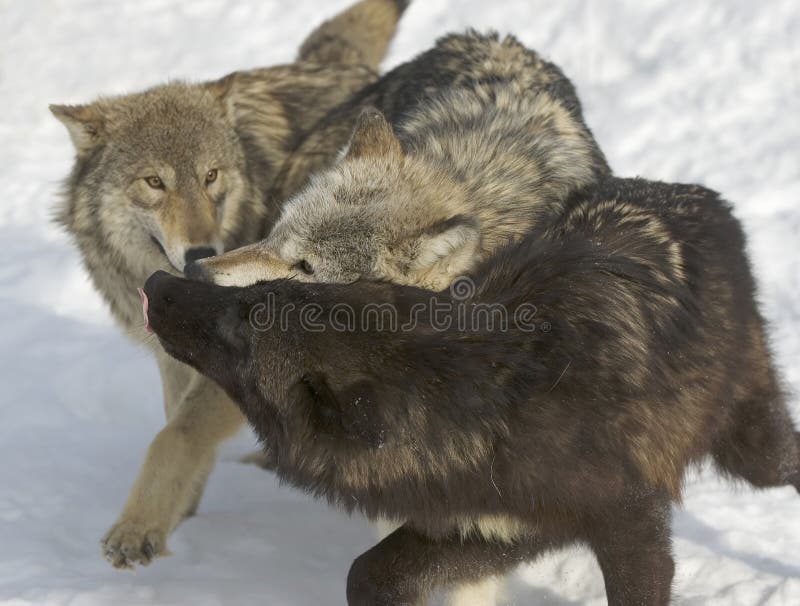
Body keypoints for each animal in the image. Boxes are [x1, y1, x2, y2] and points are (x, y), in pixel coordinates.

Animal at [51, 0, 410, 569]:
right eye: (154, 182)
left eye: (211, 176)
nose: (201, 254)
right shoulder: (172, 356)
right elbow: (176, 421)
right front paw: (180, 513)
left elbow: (173, 435)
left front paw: (137, 527)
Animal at [144, 176, 800, 606]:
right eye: (256, 298)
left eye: (244, 325)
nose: (157, 283)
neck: (491, 406)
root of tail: (694, 192)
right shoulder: (488, 527)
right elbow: (367, 576)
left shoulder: (632, 525)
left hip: (753, 453)